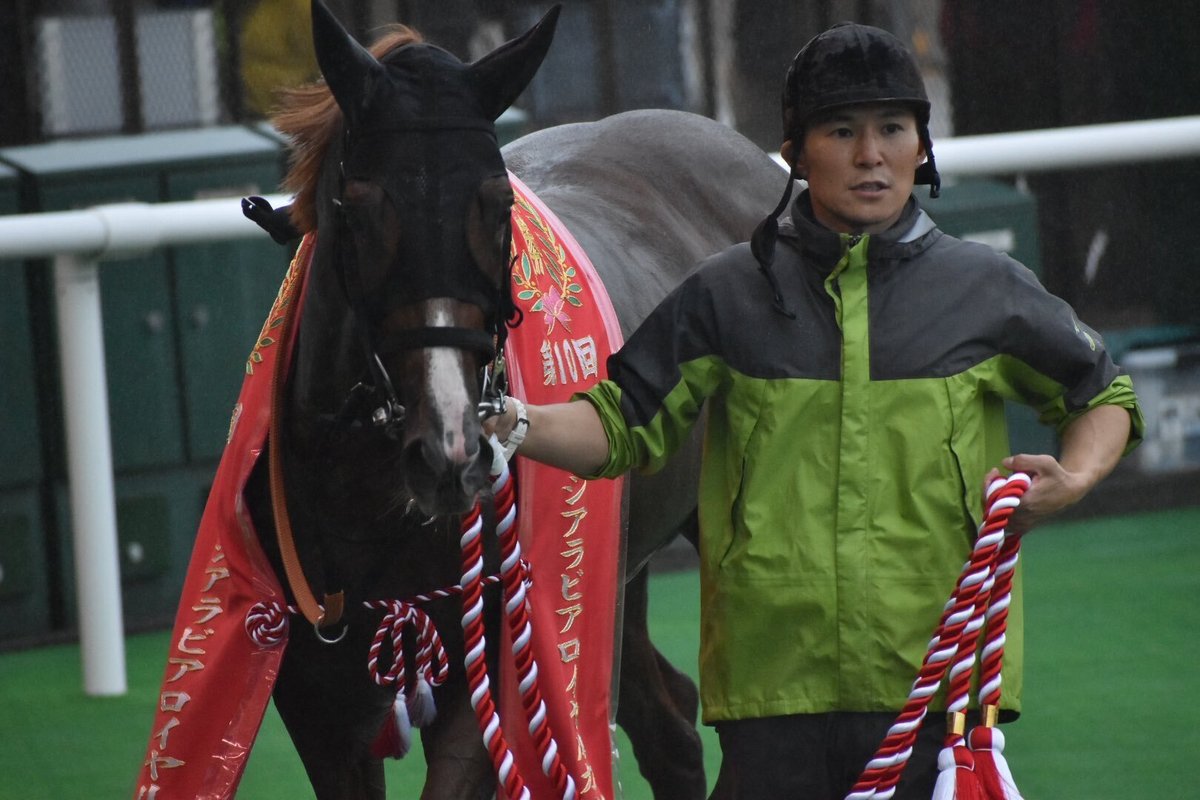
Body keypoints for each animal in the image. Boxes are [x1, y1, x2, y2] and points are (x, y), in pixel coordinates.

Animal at [242, 2, 785, 798]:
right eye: (360, 208)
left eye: (500, 204)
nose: (449, 450)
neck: (369, 504)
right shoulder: (318, 698)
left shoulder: (495, 652)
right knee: (670, 726)